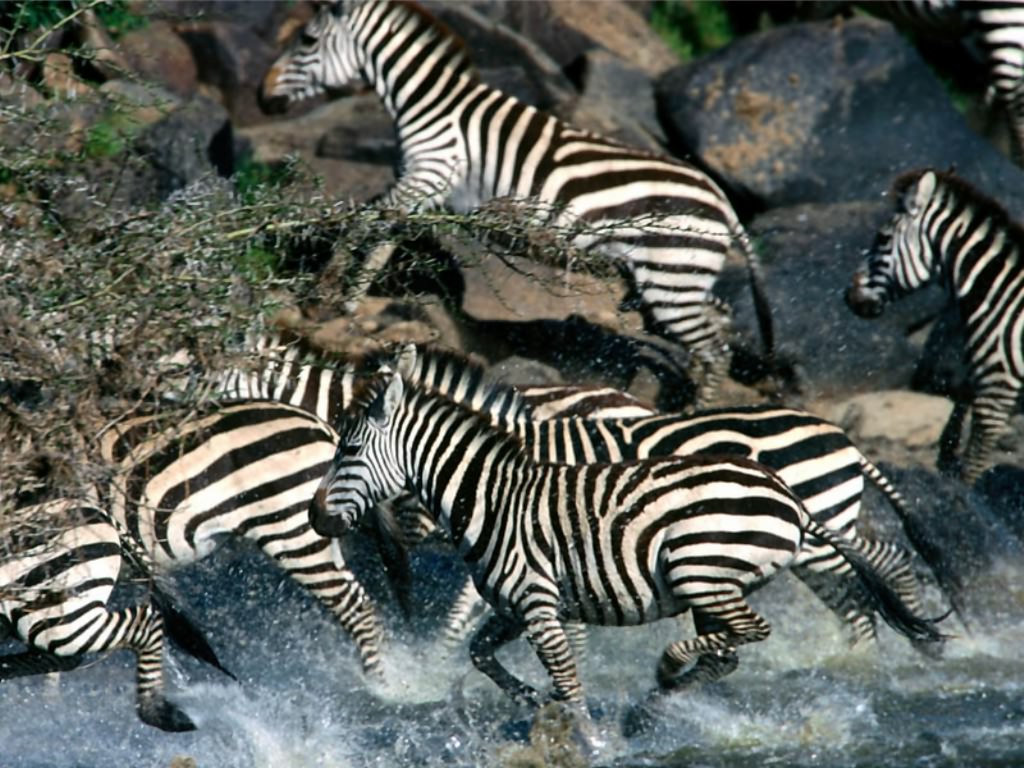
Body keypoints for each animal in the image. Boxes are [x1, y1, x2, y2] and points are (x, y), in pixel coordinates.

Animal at [258, 0, 775, 404]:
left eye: (307, 39)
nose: (261, 98)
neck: (427, 105)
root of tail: (722, 199)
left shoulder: (428, 172)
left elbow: (364, 219)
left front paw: (322, 292)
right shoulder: (424, 189)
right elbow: (384, 236)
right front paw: (347, 300)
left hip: (671, 279)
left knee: (714, 347)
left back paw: (693, 411)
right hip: (678, 279)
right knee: (718, 325)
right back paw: (685, 392)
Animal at [308, 359, 945, 716]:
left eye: (347, 449)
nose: (316, 518)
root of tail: (837, 433)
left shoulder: (538, 573)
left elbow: (521, 640)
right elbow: (480, 641)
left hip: (792, 542)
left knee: (865, 586)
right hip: (775, 554)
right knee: (854, 587)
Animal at [846, 168, 1024, 484]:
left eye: (882, 239)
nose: (848, 296)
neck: (998, 293)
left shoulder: (997, 388)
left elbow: (973, 466)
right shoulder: (982, 377)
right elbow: (959, 407)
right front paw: (946, 458)